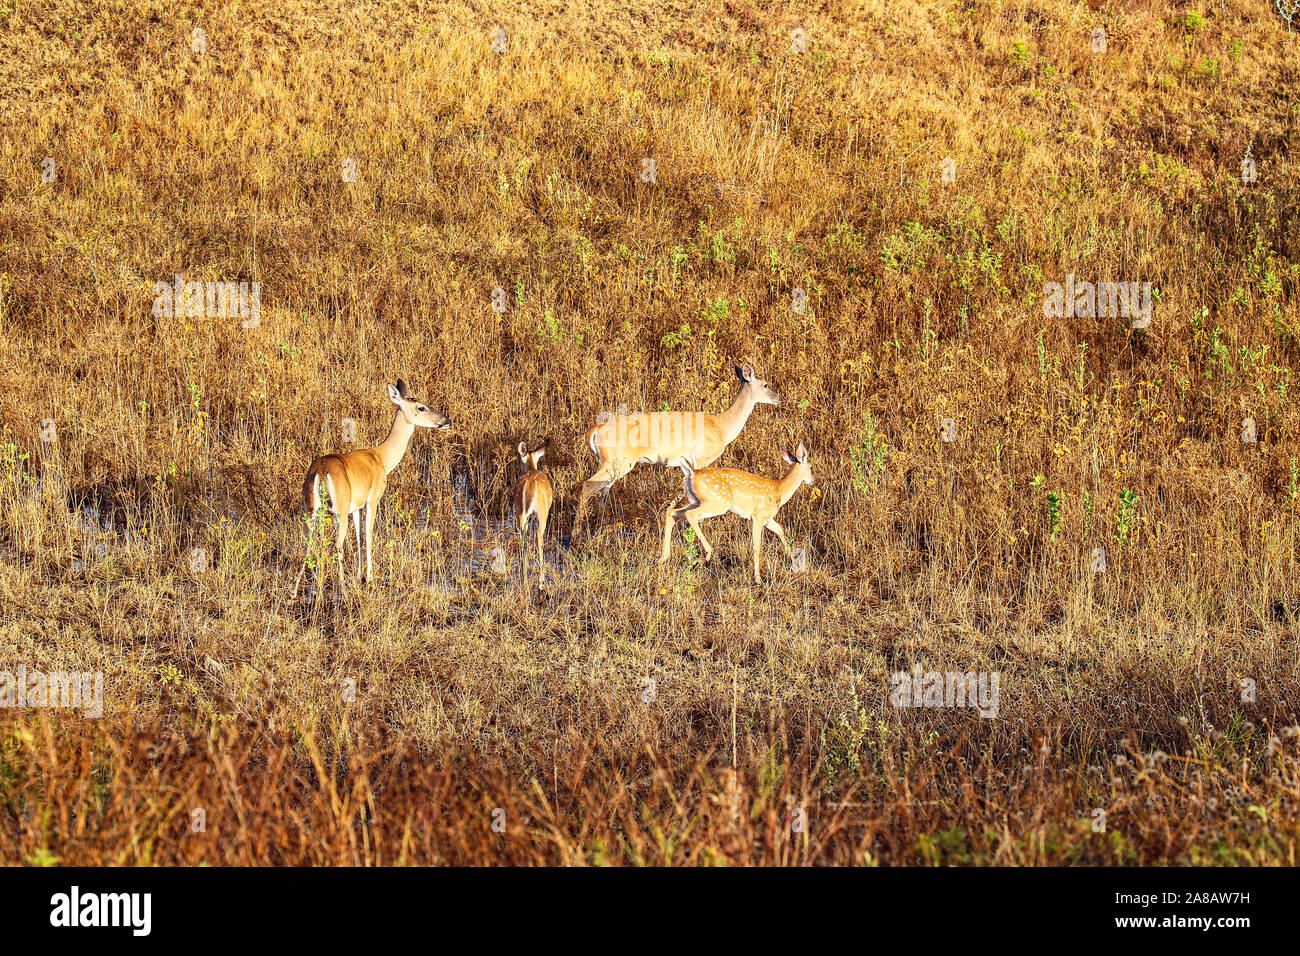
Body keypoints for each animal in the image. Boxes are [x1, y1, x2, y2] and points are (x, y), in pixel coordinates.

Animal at [294, 380, 450, 597]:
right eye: (421, 407)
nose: (447, 420)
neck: (382, 459)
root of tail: (321, 471)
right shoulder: (373, 499)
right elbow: (368, 536)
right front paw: (369, 579)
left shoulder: (356, 506)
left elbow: (359, 538)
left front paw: (359, 575)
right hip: (340, 507)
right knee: (338, 543)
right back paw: (343, 589)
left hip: (311, 507)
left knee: (307, 543)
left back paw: (297, 590)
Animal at [513, 439, 554, 585]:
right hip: (542, 512)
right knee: (538, 536)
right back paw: (541, 580)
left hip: (520, 511)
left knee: (523, 538)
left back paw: (523, 574)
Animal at [573, 363, 780, 538]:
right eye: (765, 384)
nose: (779, 398)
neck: (721, 427)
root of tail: (597, 429)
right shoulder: (701, 459)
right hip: (618, 461)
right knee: (588, 485)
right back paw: (576, 533)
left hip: (614, 464)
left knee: (603, 491)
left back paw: (597, 528)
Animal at [659, 443, 813, 584]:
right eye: (811, 467)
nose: (812, 481)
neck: (780, 491)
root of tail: (692, 473)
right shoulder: (757, 515)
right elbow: (757, 545)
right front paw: (758, 578)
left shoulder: (768, 518)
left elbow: (780, 530)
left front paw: (795, 562)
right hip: (719, 502)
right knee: (690, 515)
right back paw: (707, 554)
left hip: (696, 500)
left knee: (672, 512)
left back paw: (663, 558)